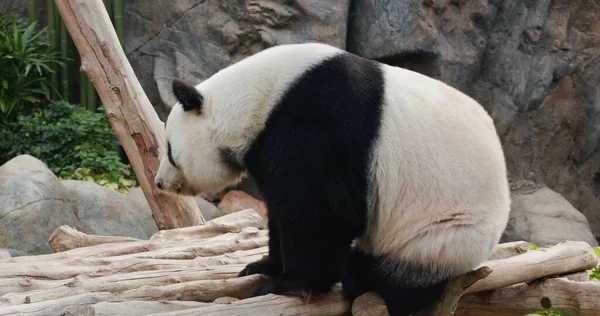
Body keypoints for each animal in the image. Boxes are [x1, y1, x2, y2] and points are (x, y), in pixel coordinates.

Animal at [155, 42, 510, 316]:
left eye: (170, 151)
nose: (160, 183)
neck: (259, 98)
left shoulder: (315, 126)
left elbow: (321, 211)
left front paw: (292, 283)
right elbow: (282, 209)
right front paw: (264, 266)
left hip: (440, 234)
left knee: (398, 276)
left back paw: (362, 277)